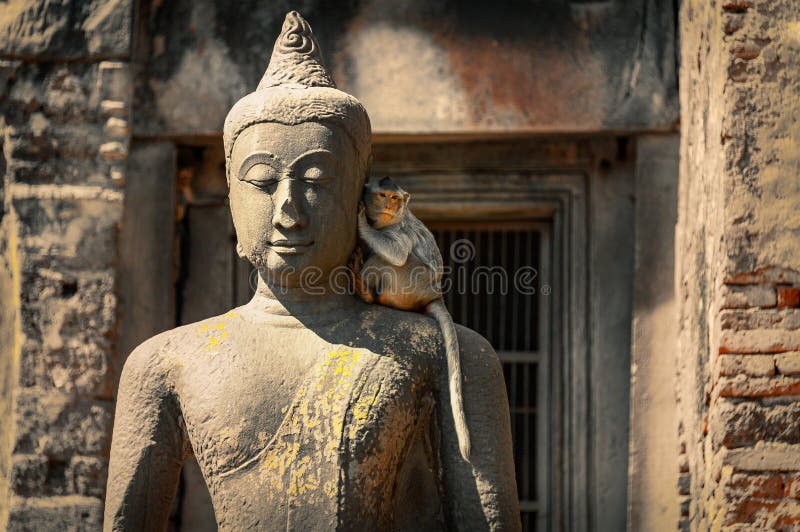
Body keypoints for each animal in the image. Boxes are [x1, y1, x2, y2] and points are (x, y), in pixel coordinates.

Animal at [355, 176, 471, 461]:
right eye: (383, 195)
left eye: (394, 198)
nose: (389, 205)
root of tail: (434, 294)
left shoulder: (400, 230)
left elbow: (397, 252)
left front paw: (362, 223)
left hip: (410, 282)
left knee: (389, 260)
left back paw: (368, 293)